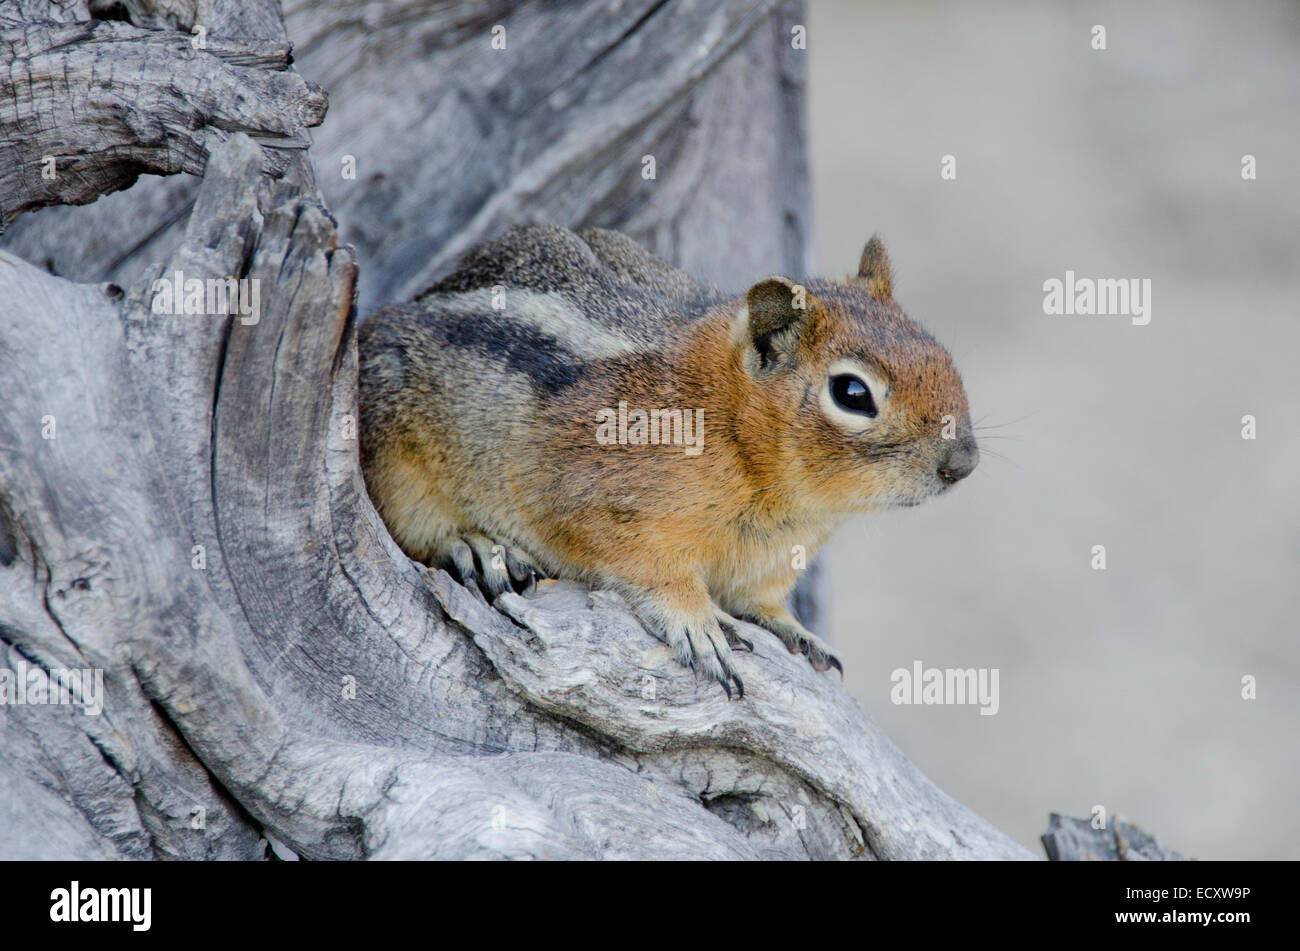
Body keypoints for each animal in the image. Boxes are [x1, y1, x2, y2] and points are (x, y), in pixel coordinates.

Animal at [358, 225, 977, 698]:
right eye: (852, 393)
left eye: (941, 354)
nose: (963, 464)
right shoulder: (608, 511)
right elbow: (654, 575)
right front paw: (698, 623)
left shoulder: (770, 564)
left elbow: (762, 602)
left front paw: (795, 629)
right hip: (394, 458)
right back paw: (475, 544)